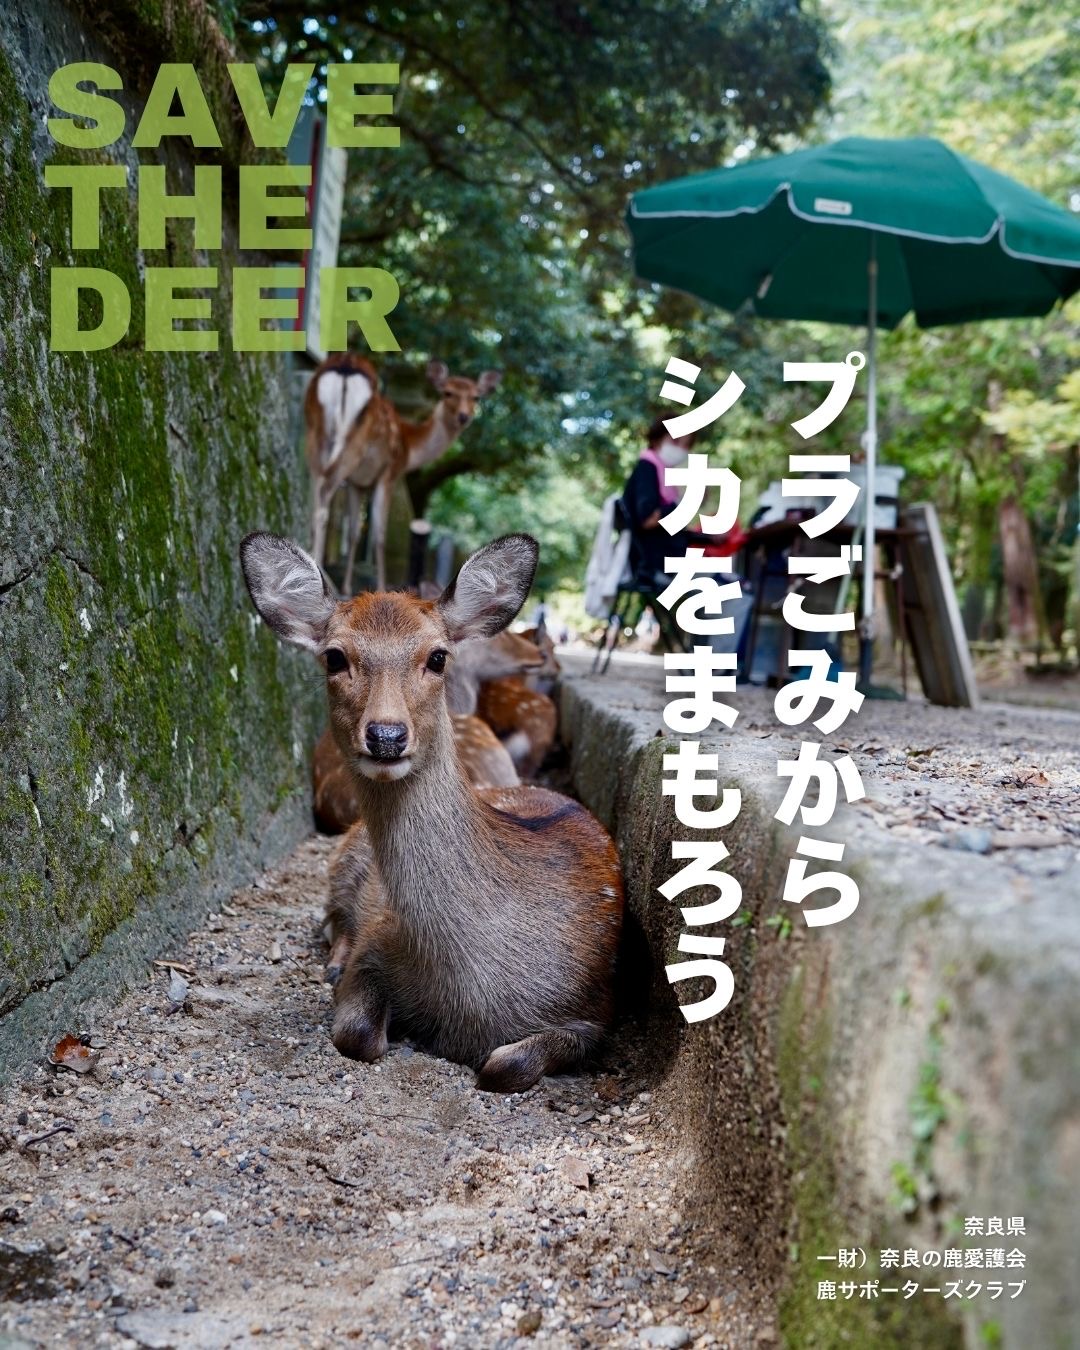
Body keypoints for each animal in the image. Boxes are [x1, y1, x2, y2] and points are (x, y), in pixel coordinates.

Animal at [304, 354, 501, 592]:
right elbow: (379, 534)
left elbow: (353, 532)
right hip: (353, 444)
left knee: (315, 487)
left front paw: (348, 588)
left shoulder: (356, 483)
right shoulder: (390, 472)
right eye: (447, 392)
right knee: (324, 490)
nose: (464, 417)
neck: (409, 447)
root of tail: (345, 367)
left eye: (476, 397)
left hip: (316, 434)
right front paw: (380, 587)